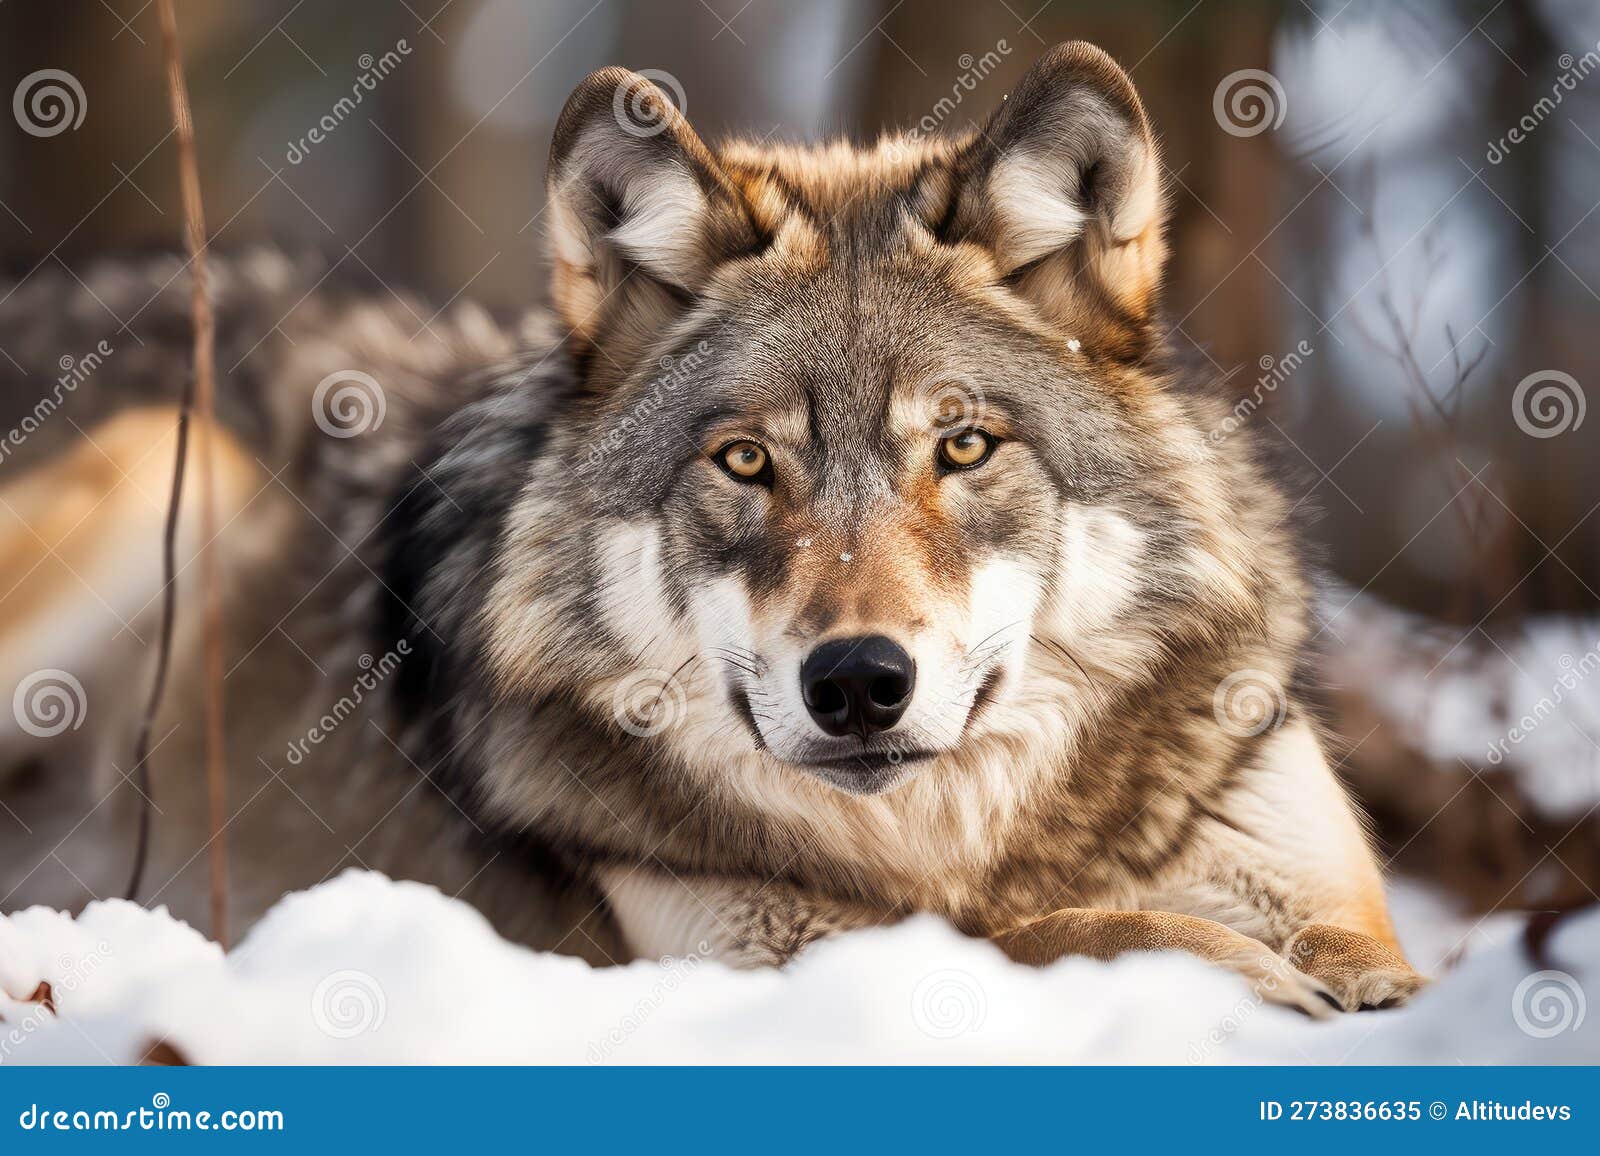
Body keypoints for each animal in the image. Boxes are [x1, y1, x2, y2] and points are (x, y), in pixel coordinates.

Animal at [0, 44, 1422, 1014]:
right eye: (745, 462)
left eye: (962, 446)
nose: (857, 681)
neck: (961, 849)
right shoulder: (733, 957)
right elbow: (1047, 936)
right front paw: (1233, 975)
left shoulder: (1300, 863)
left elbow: (1347, 945)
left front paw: (1369, 995)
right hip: (166, 457)